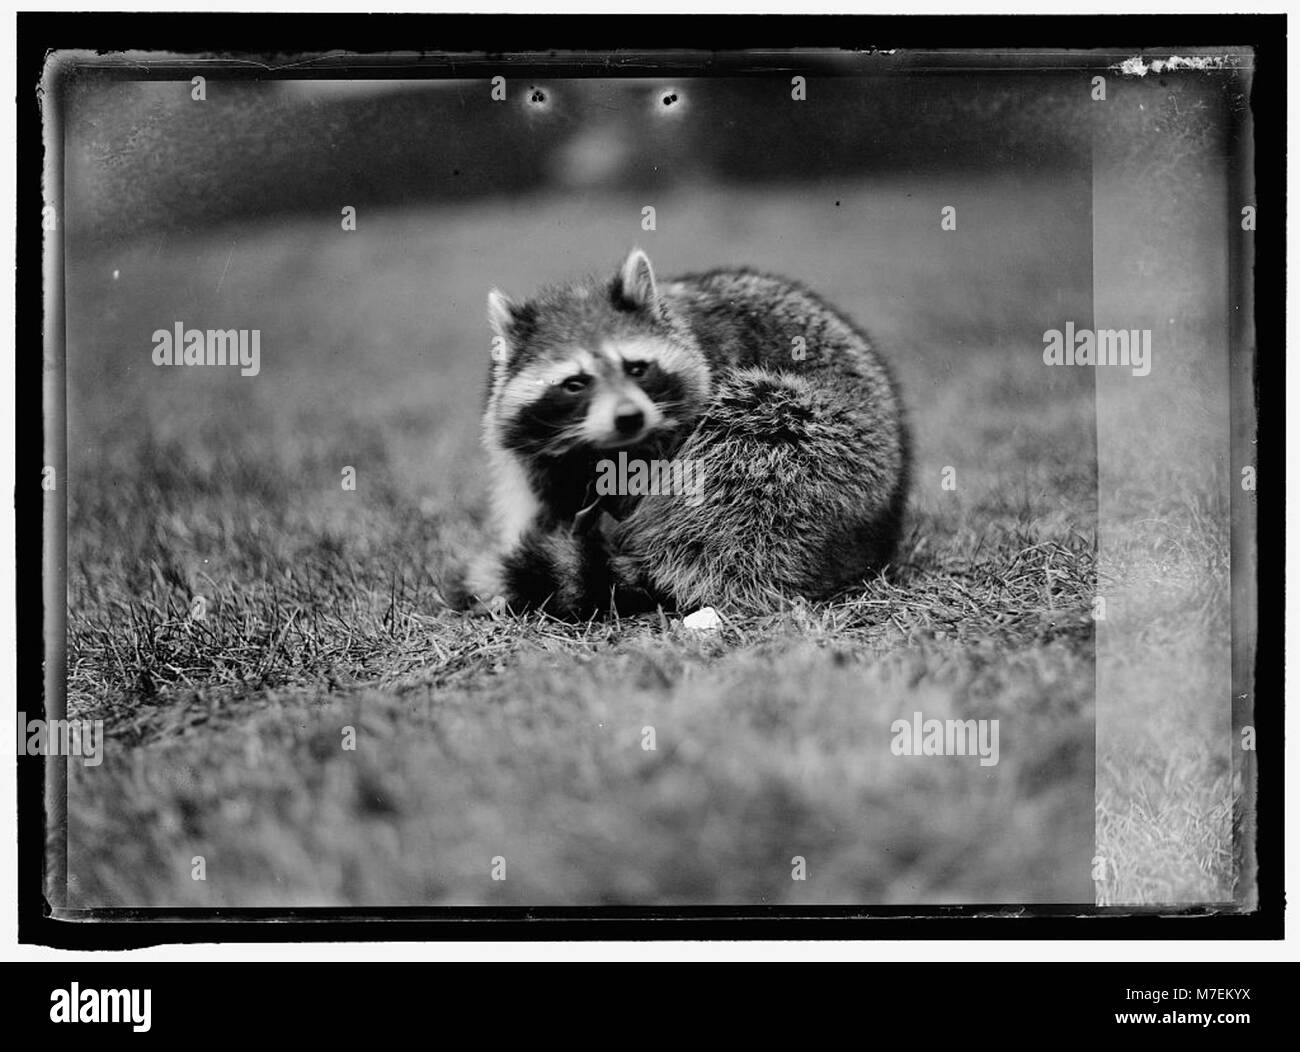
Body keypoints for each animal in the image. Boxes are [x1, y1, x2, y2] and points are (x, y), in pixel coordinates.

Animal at [467, 247, 909, 617]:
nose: (629, 417)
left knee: (751, 445)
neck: (606, 450)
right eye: (575, 383)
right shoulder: (536, 458)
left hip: (828, 447)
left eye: (636, 367)